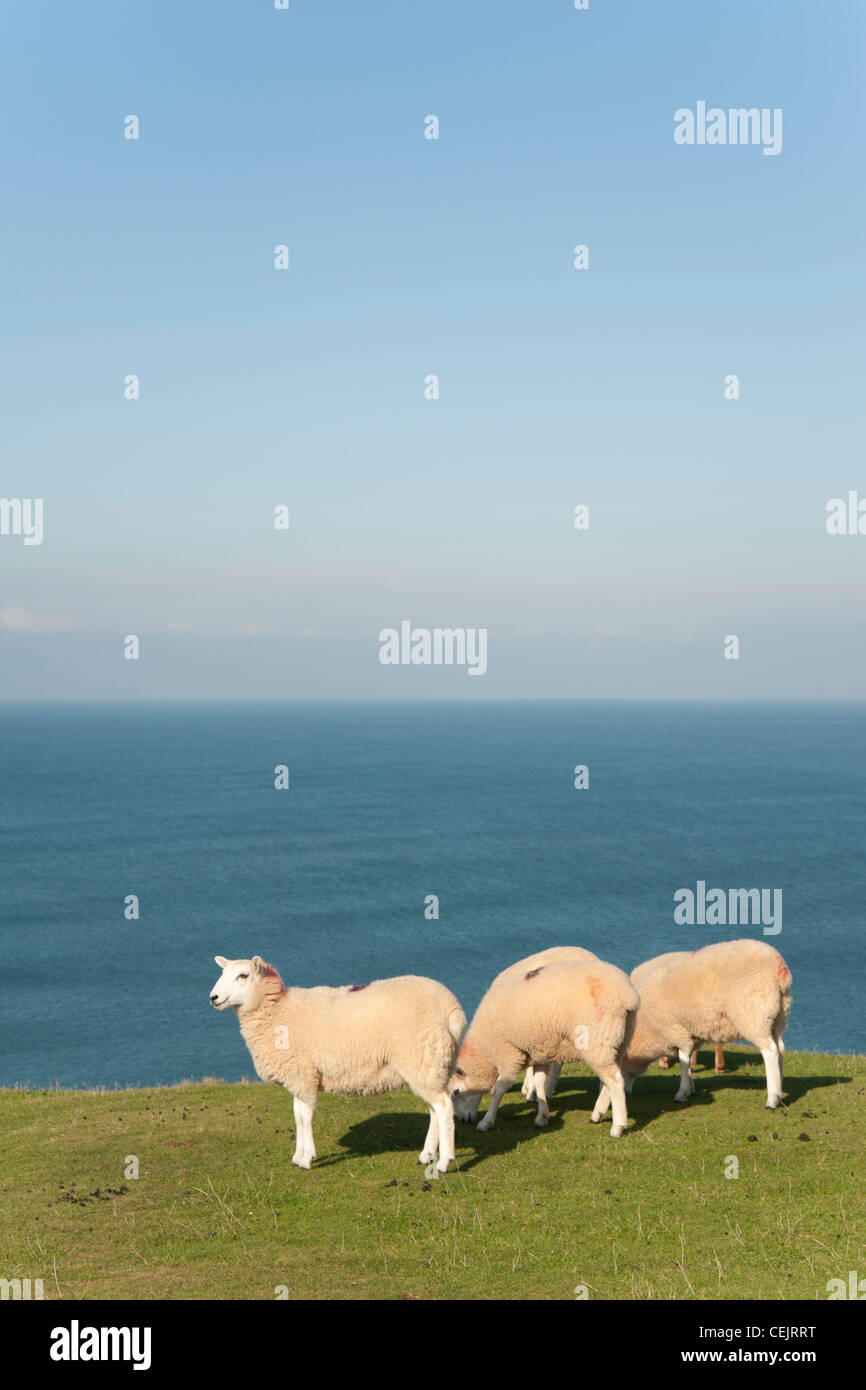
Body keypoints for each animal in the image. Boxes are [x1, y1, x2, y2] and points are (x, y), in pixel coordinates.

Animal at [209, 956, 466, 1172]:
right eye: (223, 973)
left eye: (243, 975)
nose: (213, 997)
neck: (278, 1010)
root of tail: (453, 1011)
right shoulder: (299, 1077)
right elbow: (297, 1115)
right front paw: (298, 1156)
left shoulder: (303, 1075)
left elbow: (305, 1117)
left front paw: (306, 1158)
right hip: (435, 1064)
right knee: (435, 1108)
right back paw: (427, 1154)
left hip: (423, 1058)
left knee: (443, 1107)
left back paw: (444, 1162)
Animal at [593, 939, 792, 1118]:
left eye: (621, 1071)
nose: (625, 1093)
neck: (646, 1029)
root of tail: (779, 968)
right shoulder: (689, 1034)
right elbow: (687, 1062)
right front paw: (690, 1088)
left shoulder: (677, 1031)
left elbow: (683, 1060)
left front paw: (682, 1093)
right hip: (778, 1016)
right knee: (780, 1049)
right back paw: (780, 1091)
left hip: (754, 1015)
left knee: (770, 1051)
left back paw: (772, 1099)